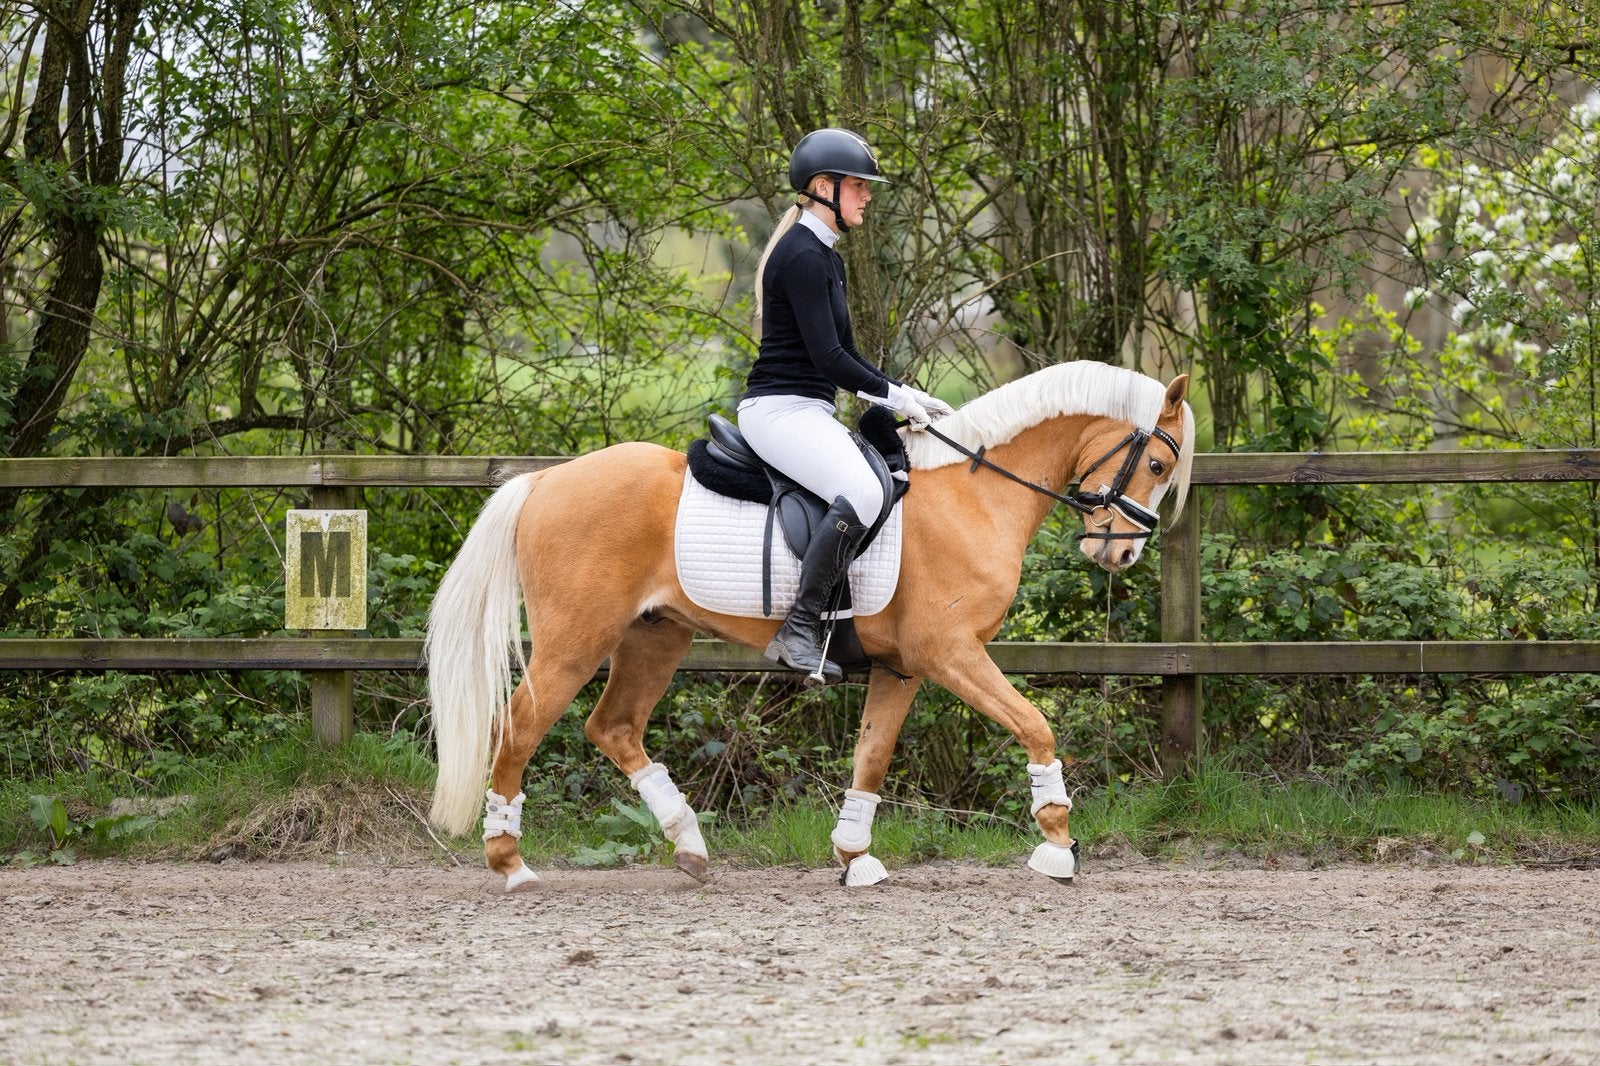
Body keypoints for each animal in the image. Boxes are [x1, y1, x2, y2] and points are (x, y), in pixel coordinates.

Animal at [425, 360, 1194, 891]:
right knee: (518, 728)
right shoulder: (950, 653)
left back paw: (690, 847)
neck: (975, 494)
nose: (1121, 554)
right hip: (574, 643)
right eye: (1157, 462)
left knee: (612, 727)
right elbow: (1035, 725)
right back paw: (511, 863)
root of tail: (544, 480)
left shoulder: (903, 668)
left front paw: (855, 858)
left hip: (655, 634)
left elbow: (872, 756)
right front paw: (1058, 845)